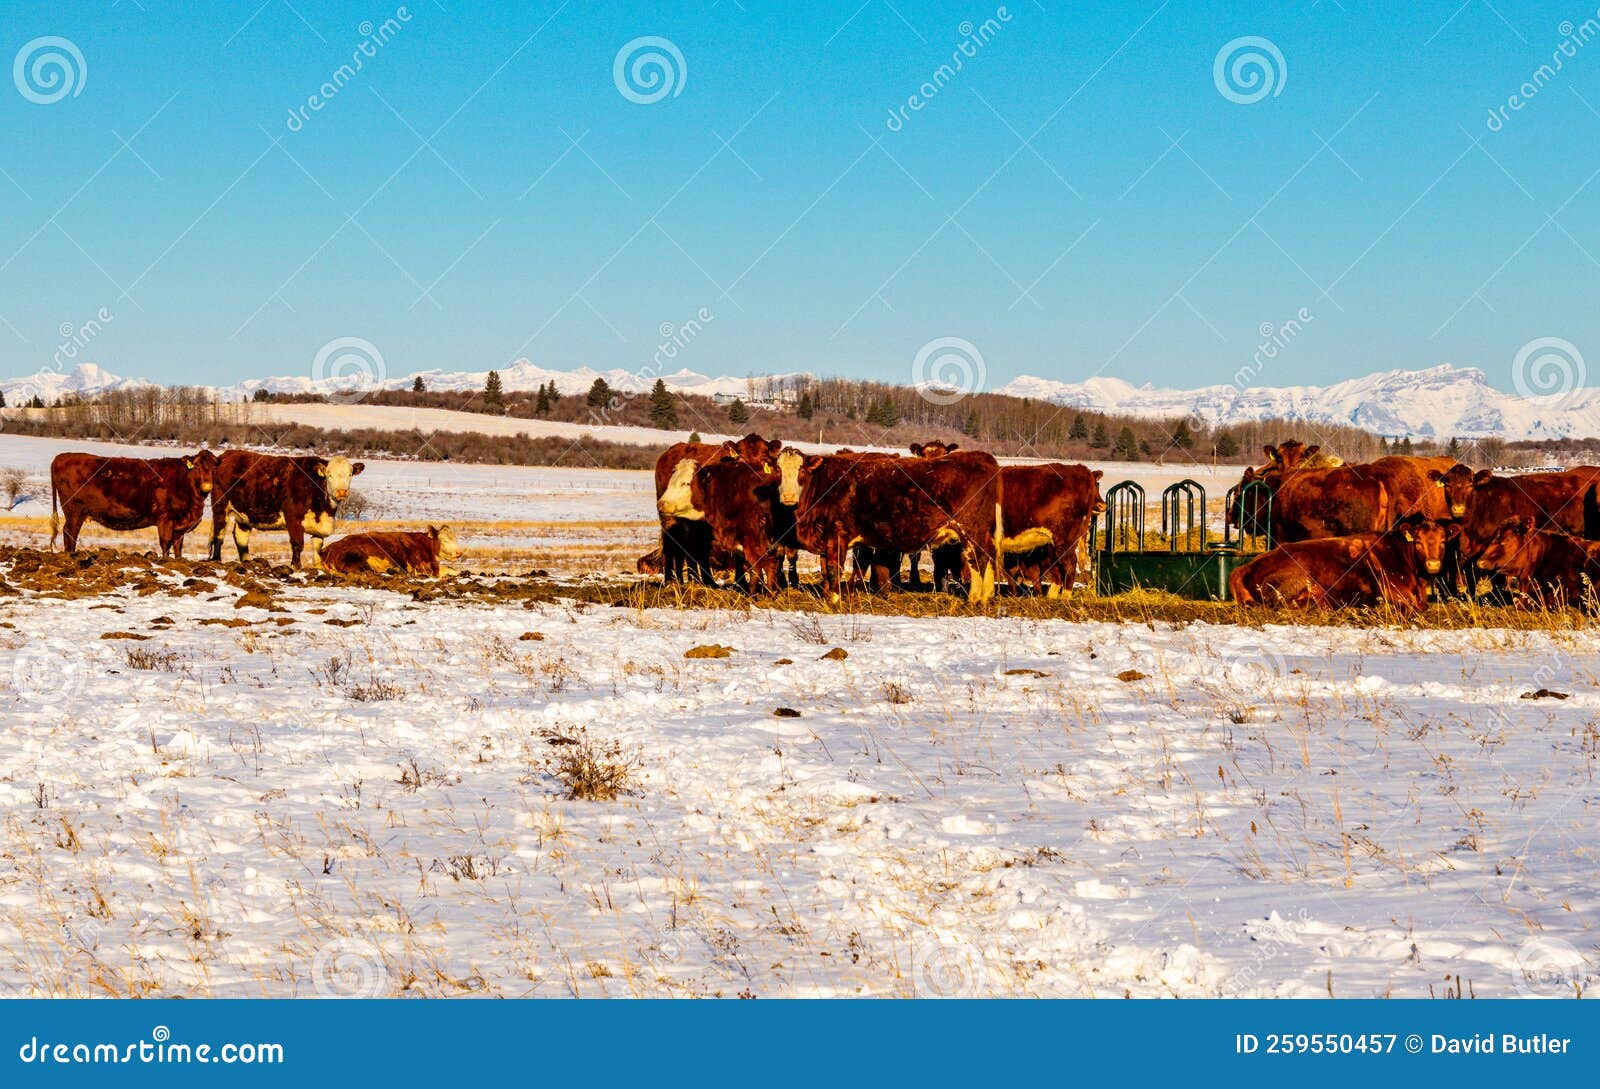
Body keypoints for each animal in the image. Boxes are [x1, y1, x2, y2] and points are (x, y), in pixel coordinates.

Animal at [49, 450, 218, 557]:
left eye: (214, 467)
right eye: (196, 466)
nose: (207, 486)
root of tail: (61, 457)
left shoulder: (180, 524)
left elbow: (178, 545)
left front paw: (179, 561)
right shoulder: (165, 518)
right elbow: (166, 543)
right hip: (74, 510)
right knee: (70, 532)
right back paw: (71, 555)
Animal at [208, 451, 365, 567]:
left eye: (350, 474)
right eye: (329, 475)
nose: (342, 492)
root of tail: (226, 455)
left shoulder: (319, 526)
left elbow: (317, 548)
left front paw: (317, 567)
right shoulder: (293, 518)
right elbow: (297, 544)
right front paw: (296, 567)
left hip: (245, 513)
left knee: (240, 537)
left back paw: (247, 562)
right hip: (220, 506)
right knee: (219, 534)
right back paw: (217, 560)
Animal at [780, 449, 1004, 603]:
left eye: (801, 470)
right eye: (779, 470)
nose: (788, 496)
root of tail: (983, 458)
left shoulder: (837, 535)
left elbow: (835, 569)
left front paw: (835, 600)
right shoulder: (826, 538)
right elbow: (826, 570)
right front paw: (828, 596)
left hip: (972, 530)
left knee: (978, 560)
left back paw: (975, 598)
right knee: (985, 558)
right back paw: (985, 597)